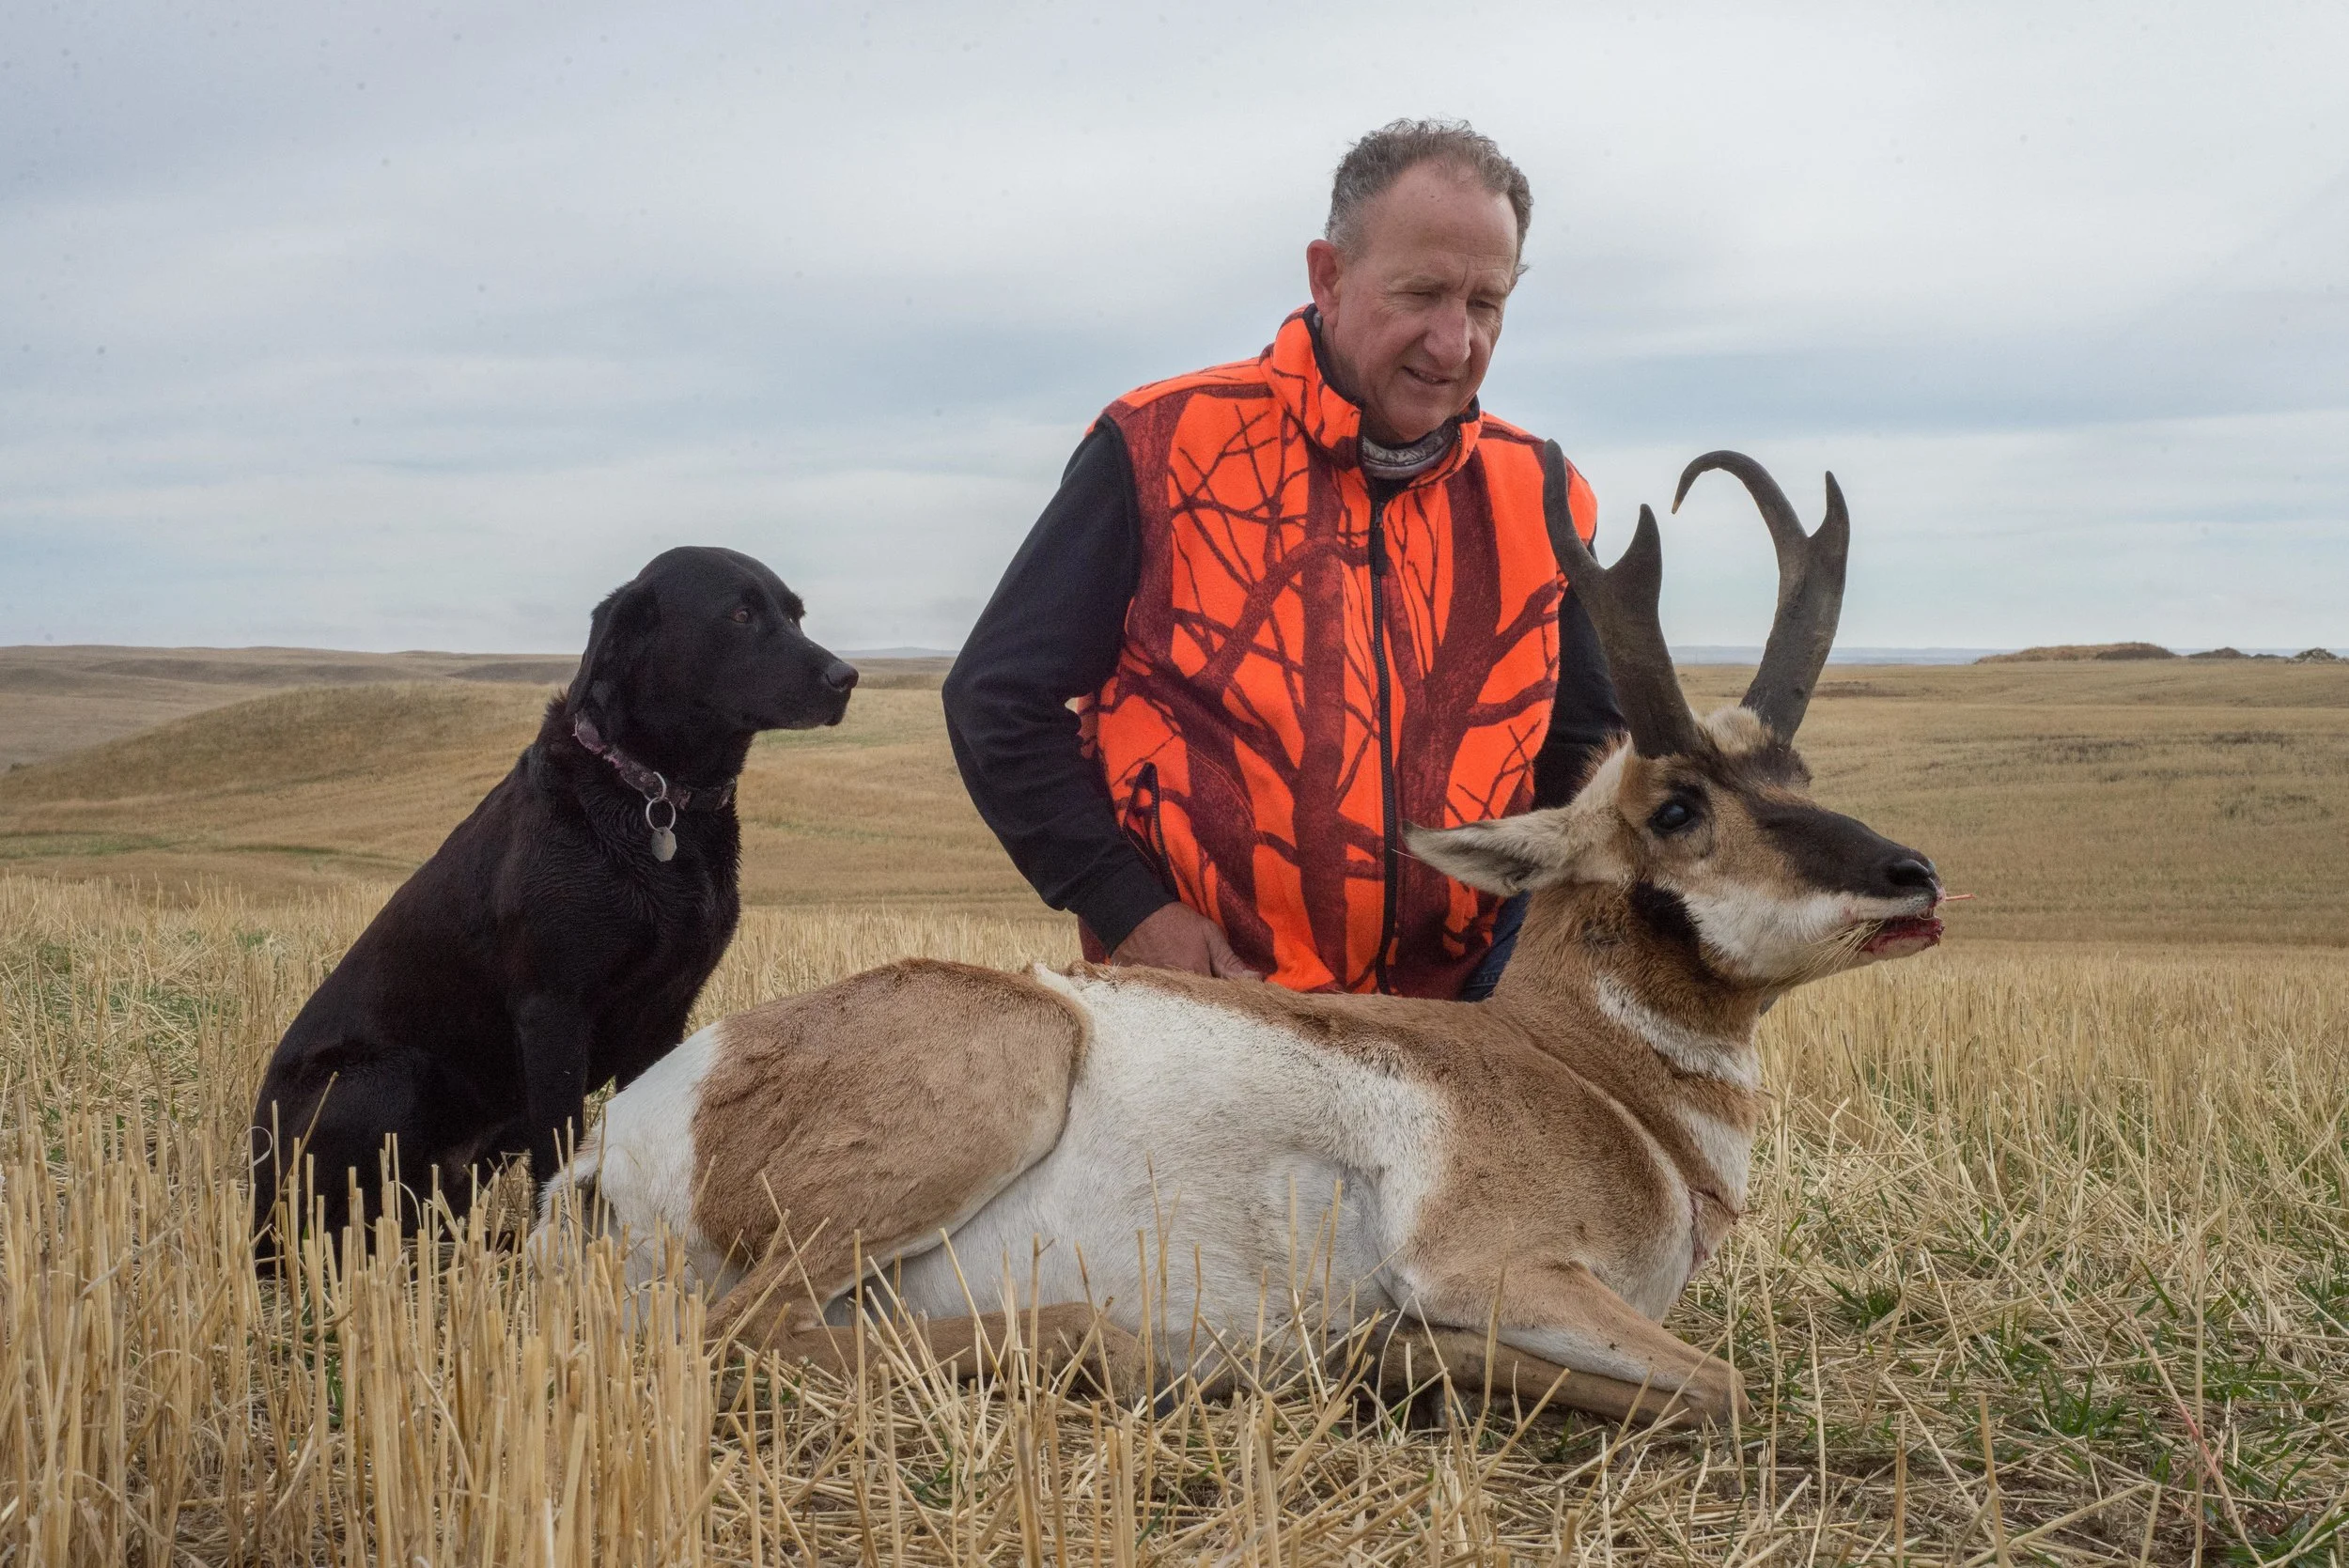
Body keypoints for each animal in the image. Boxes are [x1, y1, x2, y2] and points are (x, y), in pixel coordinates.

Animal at [532, 452, 1944, 1424]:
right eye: (1678, 807)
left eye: (1796, 770)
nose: (1915, 875)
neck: (1583, 1072)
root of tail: (633, 1124)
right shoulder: (1494, 1268)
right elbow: (1719, 1386)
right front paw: (1389, 1354)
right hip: (1002, 1072)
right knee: (741, 1335)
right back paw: (1118, 1346)